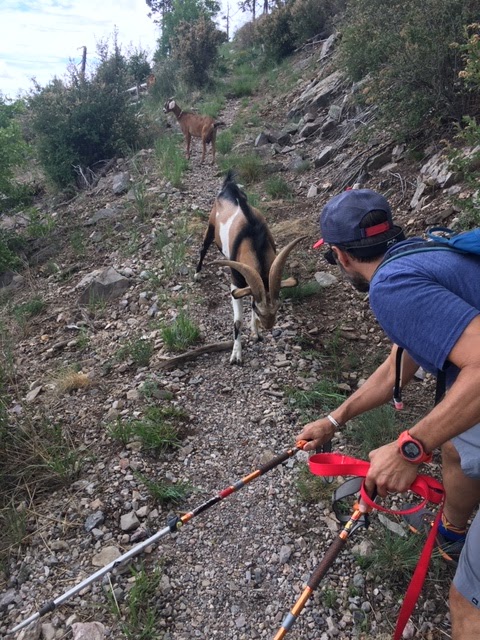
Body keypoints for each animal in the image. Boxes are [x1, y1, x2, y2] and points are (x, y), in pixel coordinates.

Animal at [195, 171, 306, 364]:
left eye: (278, 307)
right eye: (258, 309)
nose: (268, 326)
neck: (253, 235)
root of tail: (228, 185)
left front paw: (256, 332)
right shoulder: (236, 281)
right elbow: (237, 320)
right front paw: (236, 355)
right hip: (211, 225)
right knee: (203, 247)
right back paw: (197, 274)